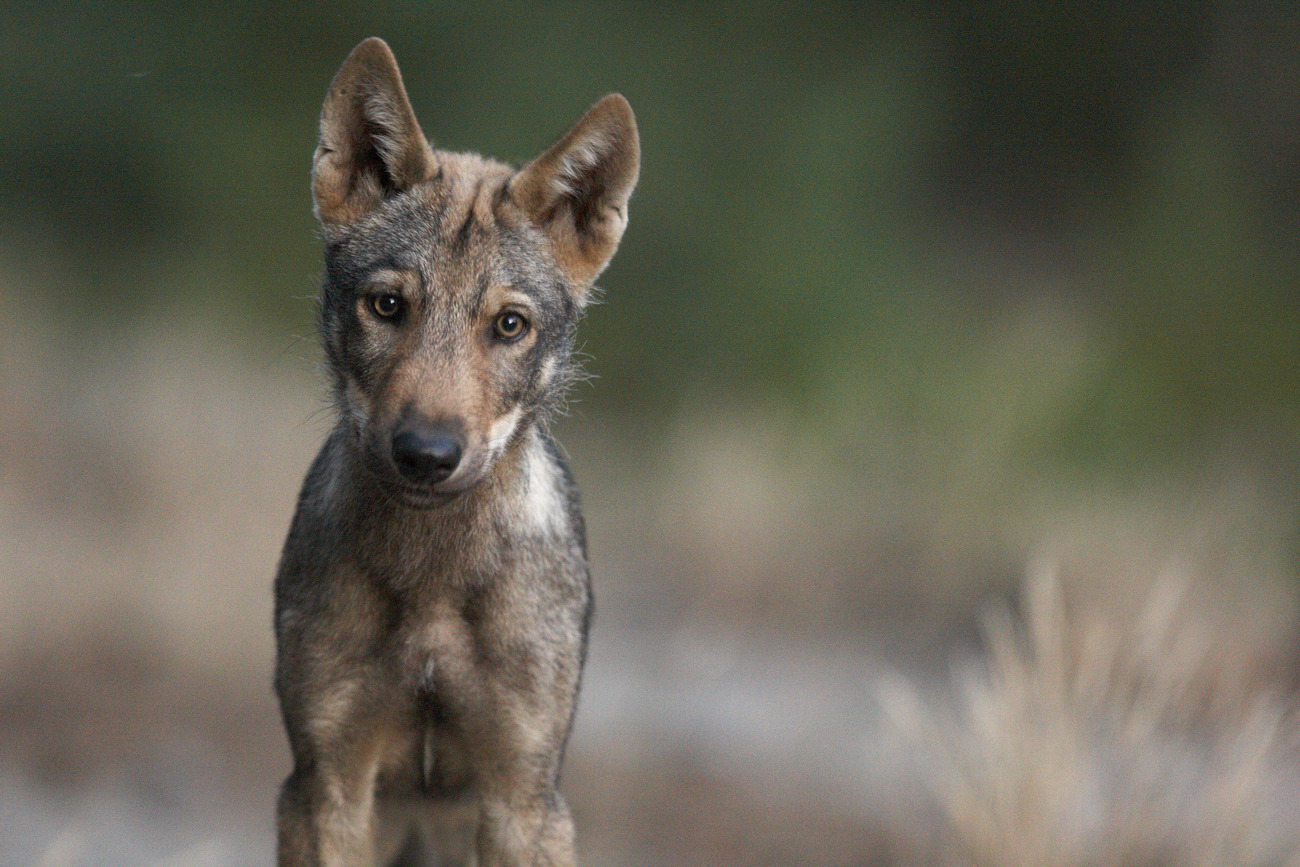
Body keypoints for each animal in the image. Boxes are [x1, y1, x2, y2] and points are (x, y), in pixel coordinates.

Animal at [272, 37, 639, 867]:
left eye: (509, 325)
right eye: (387, 306)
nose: (426, 453)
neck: (433, 578)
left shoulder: (523, 799)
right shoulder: (324, 786)